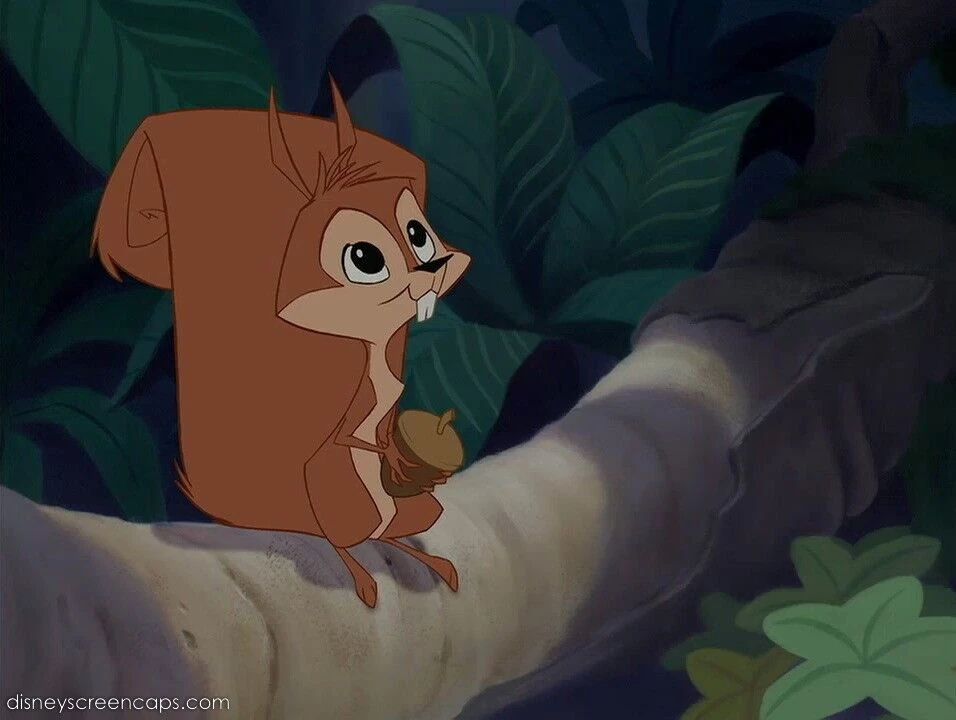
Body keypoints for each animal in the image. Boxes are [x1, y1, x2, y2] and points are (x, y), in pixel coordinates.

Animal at [91, 78, 471, 608]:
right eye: (364, 258)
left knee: (391, 527)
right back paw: (359, 570)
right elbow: (347, 436)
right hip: (341, 498)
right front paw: (391, 455)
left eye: (418, 234)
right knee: (343, 534)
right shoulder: (349, 405)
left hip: (403, 510)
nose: (434, 267)